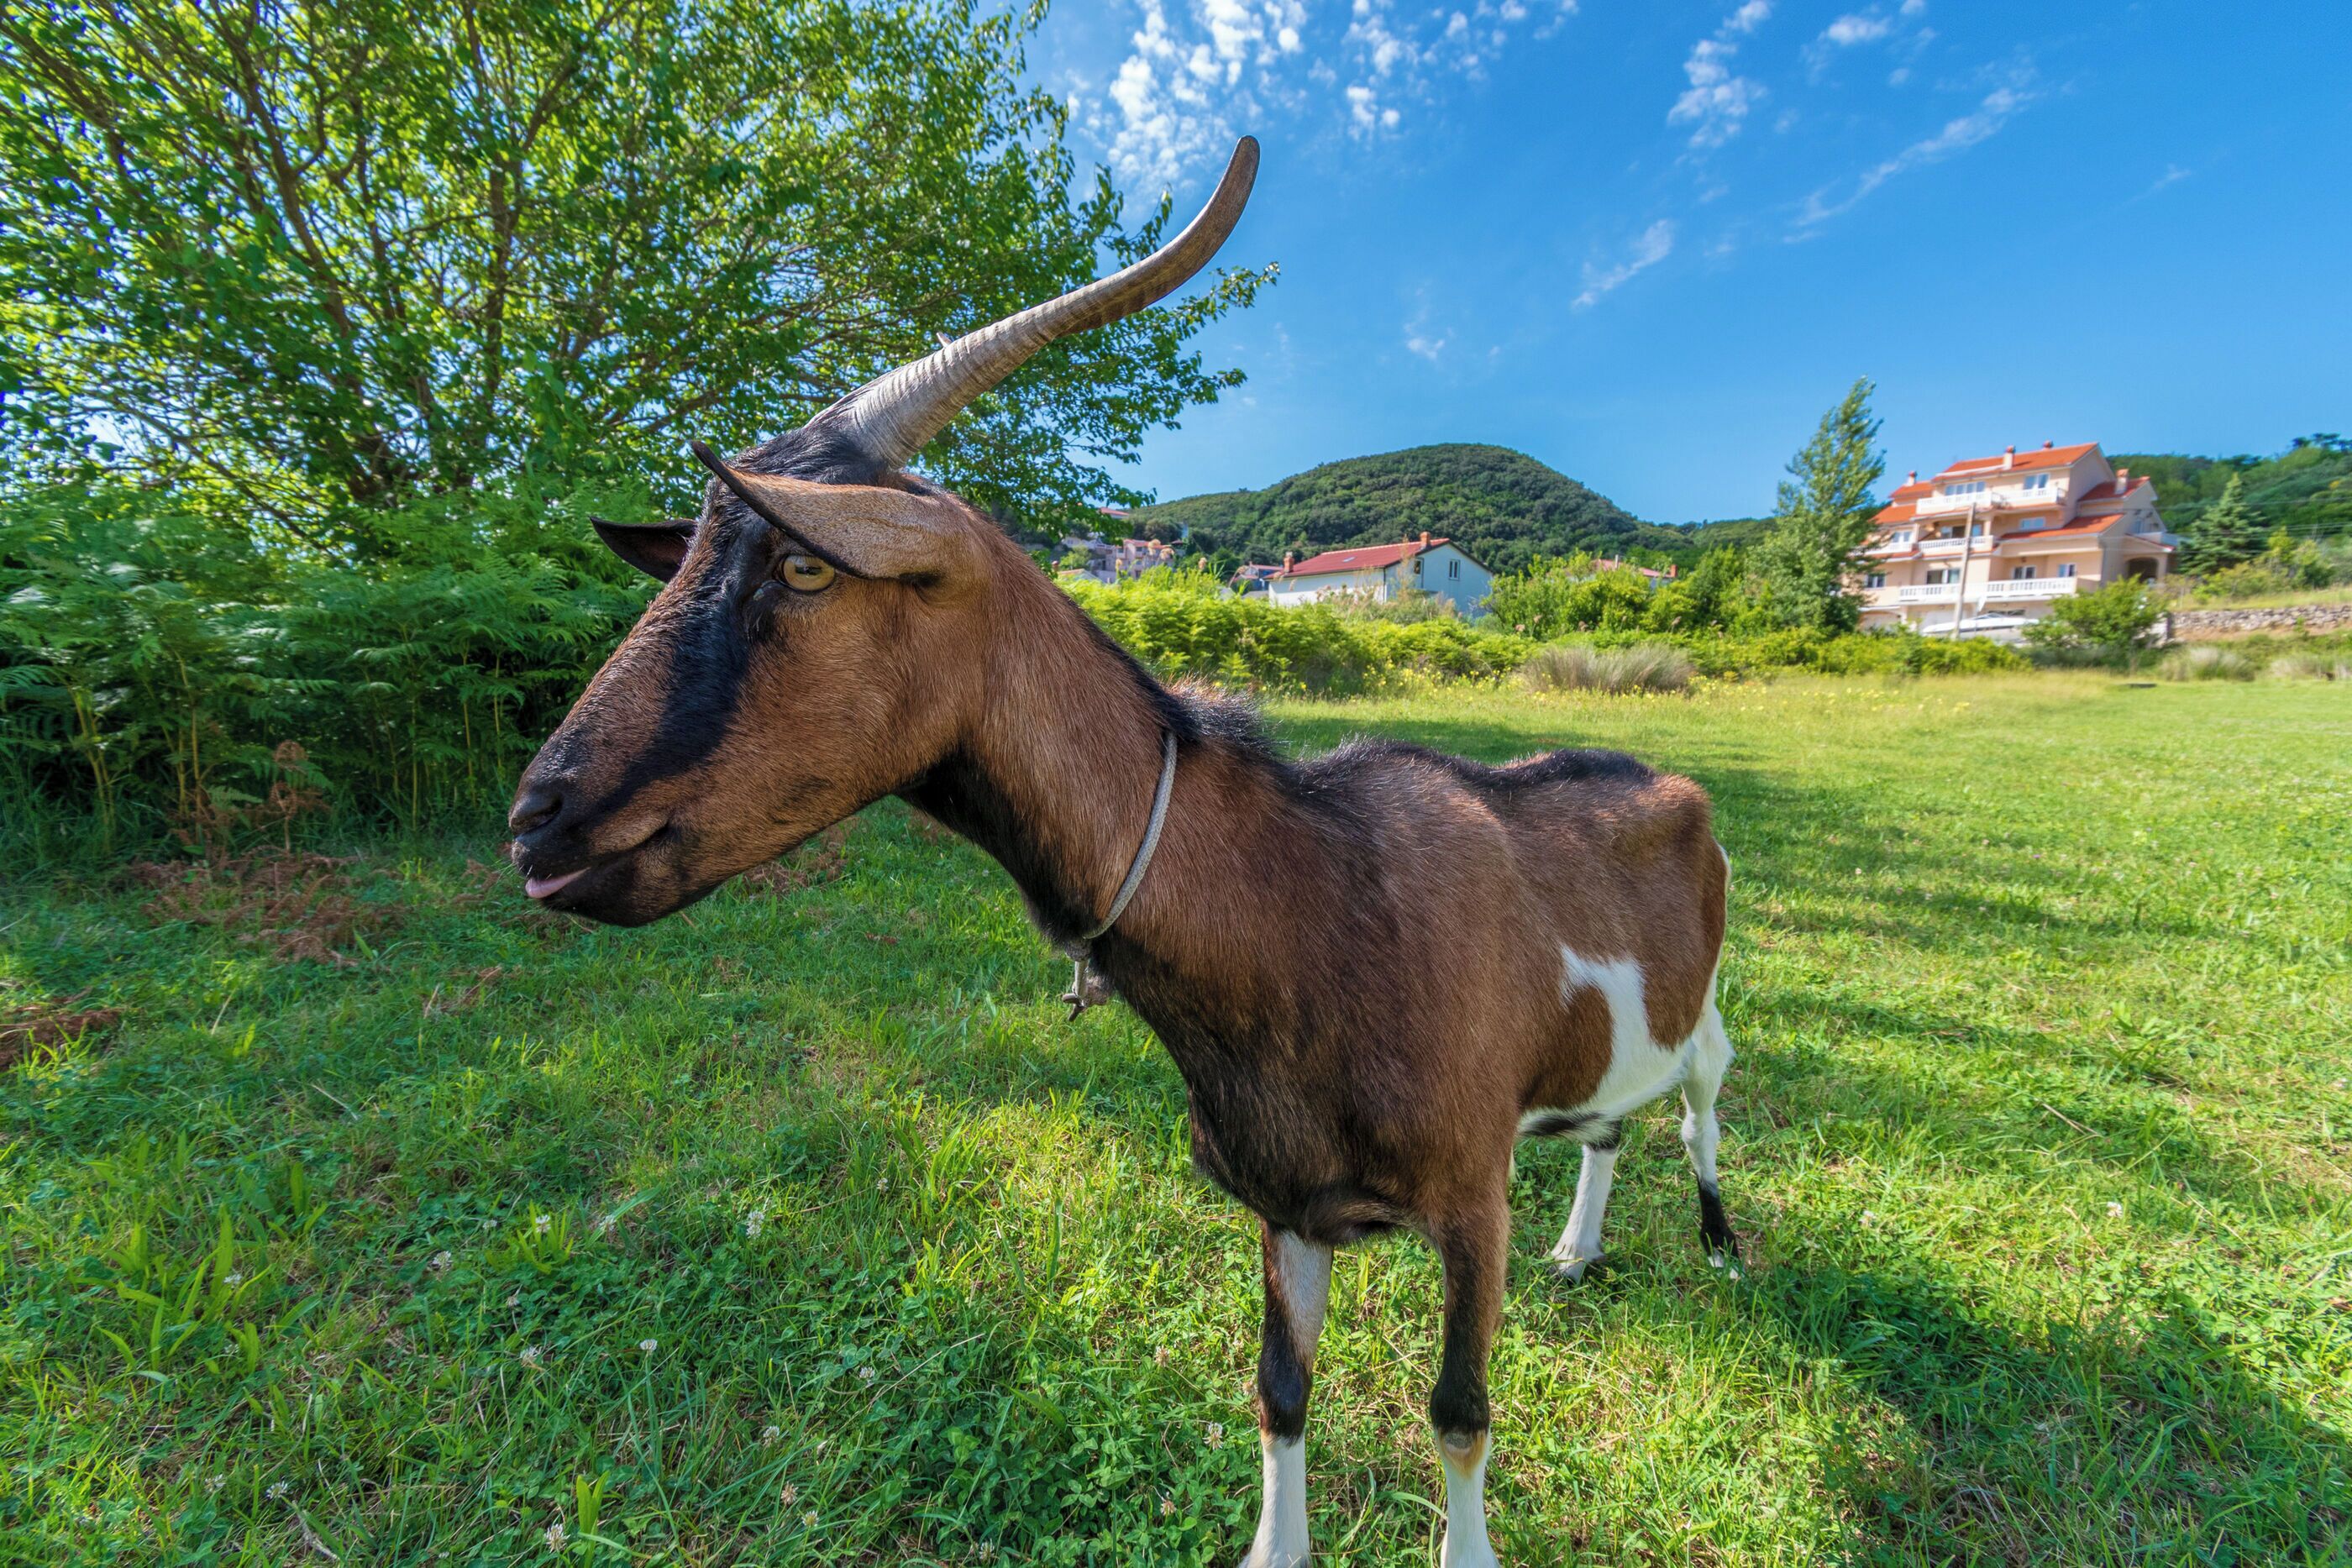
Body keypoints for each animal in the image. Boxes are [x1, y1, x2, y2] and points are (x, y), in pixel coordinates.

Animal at [510, 137, 1738, 1567]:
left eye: (804, 569)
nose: (540, 820)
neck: (1314, 906)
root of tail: (1674, 782)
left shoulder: (1468, 1193)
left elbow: (1458, 1408)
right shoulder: (1287, 1203)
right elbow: (1278, 1391)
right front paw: (1272, 1544)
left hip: (1705, 998)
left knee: (1702, 1093)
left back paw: (1718, 1234)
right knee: (1608, 1123)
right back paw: (1580, 1249)